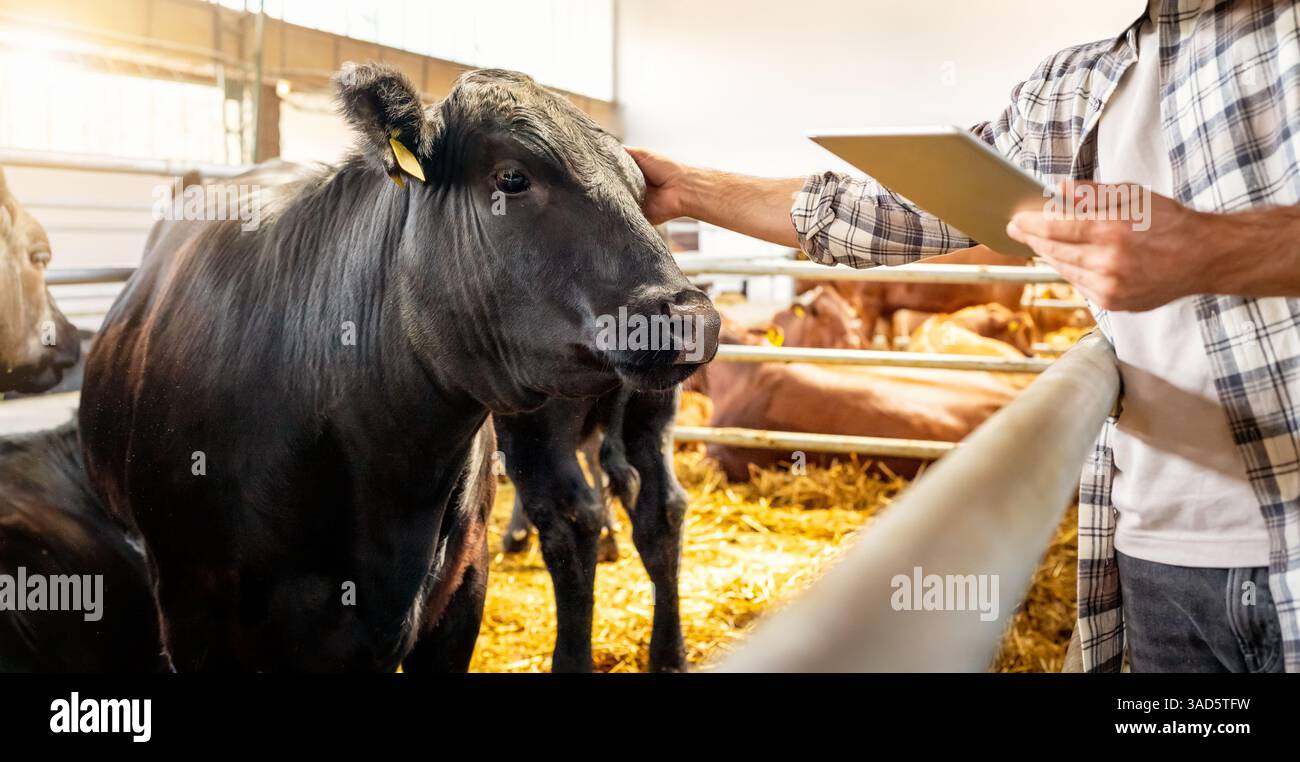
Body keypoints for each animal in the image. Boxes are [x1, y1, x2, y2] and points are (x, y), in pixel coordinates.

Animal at [76, 64, 719, 672]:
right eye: (511, 177)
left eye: (637, 185)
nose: (689, 316)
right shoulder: (193, 615)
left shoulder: (462, 589)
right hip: (642, 416)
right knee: (656, 508)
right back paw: (668, 653)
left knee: (573, 516)